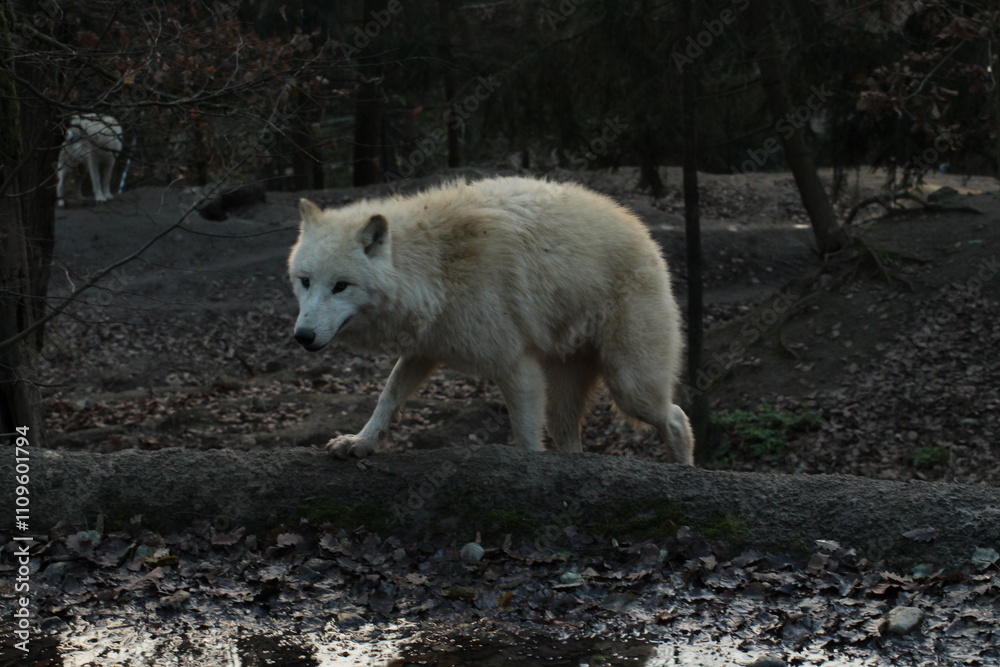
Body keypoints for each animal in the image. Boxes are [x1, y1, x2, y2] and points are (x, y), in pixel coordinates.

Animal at [288, 177, 694, 464]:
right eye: (304, 281)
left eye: (341, 286)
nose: (302, 336)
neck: (434, 270)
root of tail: (639, 227)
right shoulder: (425, 349)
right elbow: (388, 397)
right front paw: (361, 442)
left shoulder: (515, 365)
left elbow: (526, 439)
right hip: (566, 388)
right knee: (569, 437)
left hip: (630, 385)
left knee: (676, 419)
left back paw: (684, 469)